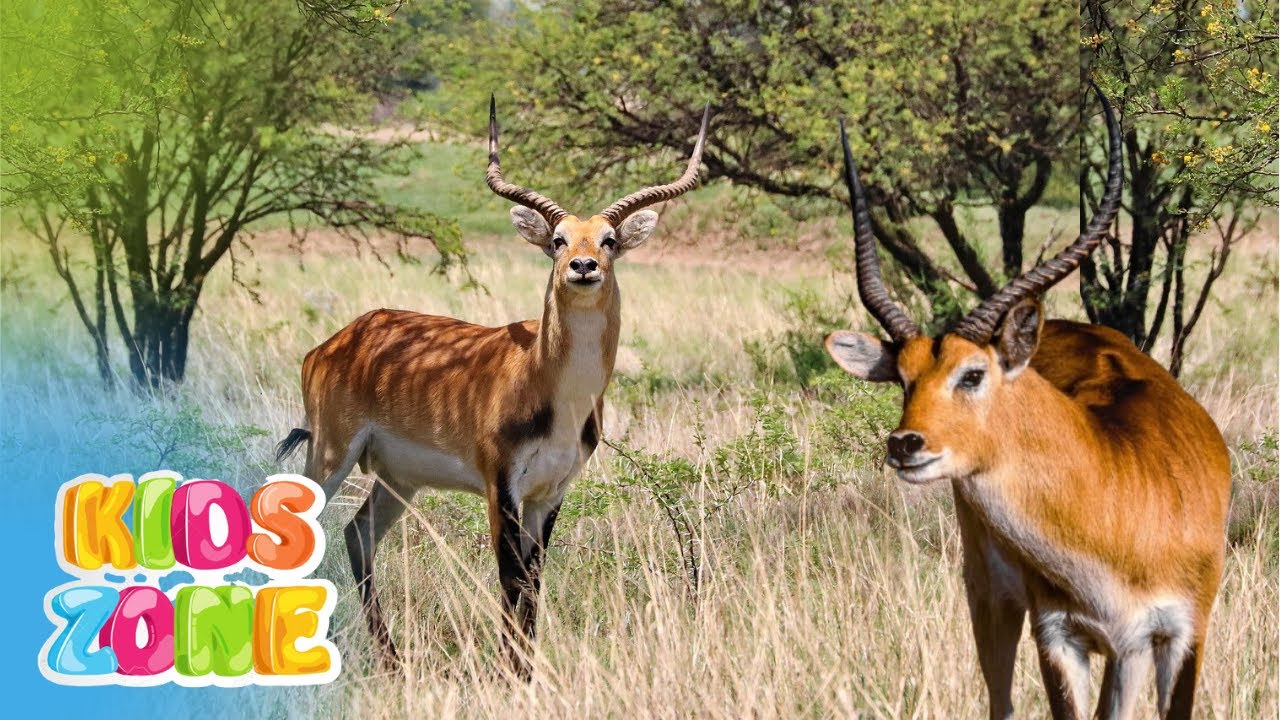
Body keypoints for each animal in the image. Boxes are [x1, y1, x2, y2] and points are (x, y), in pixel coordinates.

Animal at [275, 97, 711, 674]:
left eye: (610, 240)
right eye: (557, 240)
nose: (583, 266)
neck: (546, 385)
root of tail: (338, 339)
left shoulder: (550, 493)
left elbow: (533, 581)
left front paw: (526, 670)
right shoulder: (499, 485)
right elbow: (509, 579)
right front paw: (510, 674)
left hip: (398, 478)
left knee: (357, 534)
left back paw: (392, 660)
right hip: (330, 454)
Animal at [825, 86, 1230, 720]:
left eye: (972, 374)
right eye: (903, 378)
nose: (905, 444)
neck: (1122, 492)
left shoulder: (1180, 633)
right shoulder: (1057, 633)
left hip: (1125, 652)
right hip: (990, 597)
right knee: (1000, 697)